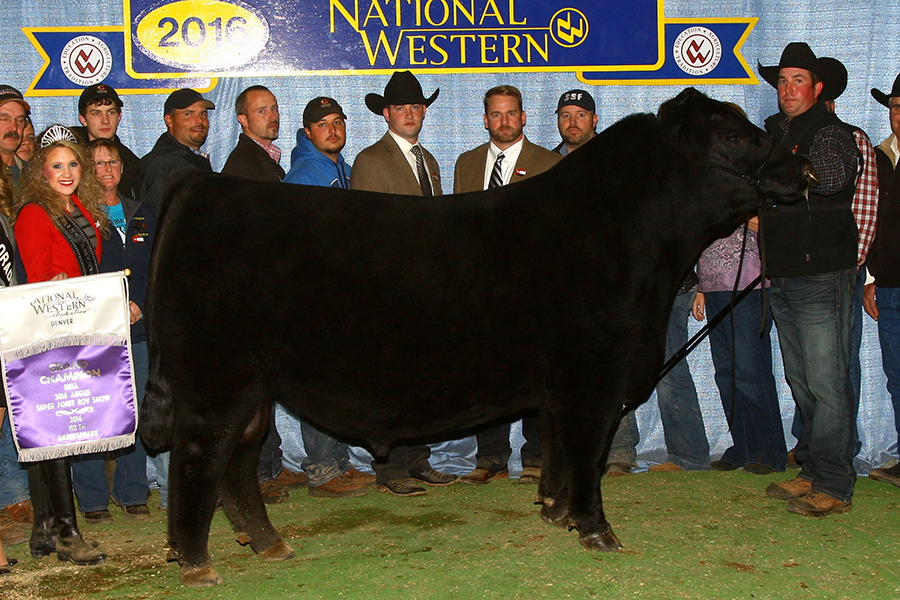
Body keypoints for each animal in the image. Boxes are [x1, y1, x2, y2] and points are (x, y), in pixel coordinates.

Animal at [140, 88, 810, 587]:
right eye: (734, 136)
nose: (803, 170)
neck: (634, 235)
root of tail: (204, 187)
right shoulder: (593, 378)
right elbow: (588, 455)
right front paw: (597, 530)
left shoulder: (562, 387)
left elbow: (559, 451)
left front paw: (555, 512)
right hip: (214, 382)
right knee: (198, 460)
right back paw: (197, 562)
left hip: (252, 388)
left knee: (237, 462)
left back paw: (268, 545)